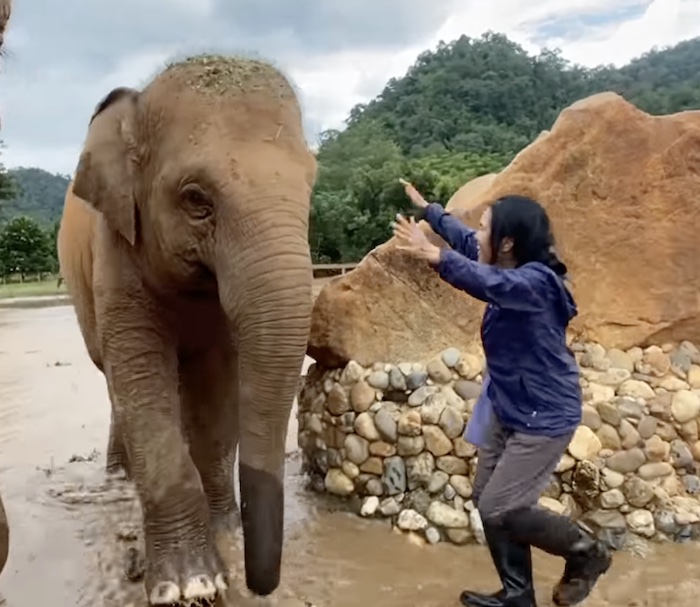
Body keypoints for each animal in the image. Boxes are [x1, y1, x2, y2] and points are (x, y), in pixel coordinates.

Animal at [57, 55, 316, 606]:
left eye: (311, 185)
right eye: (197, 199)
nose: (260, 585)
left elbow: (217, 389)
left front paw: (226, 533)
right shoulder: (116, 249)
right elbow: (141, 379)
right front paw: (189, 584)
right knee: (116, 385)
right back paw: (119, 478)